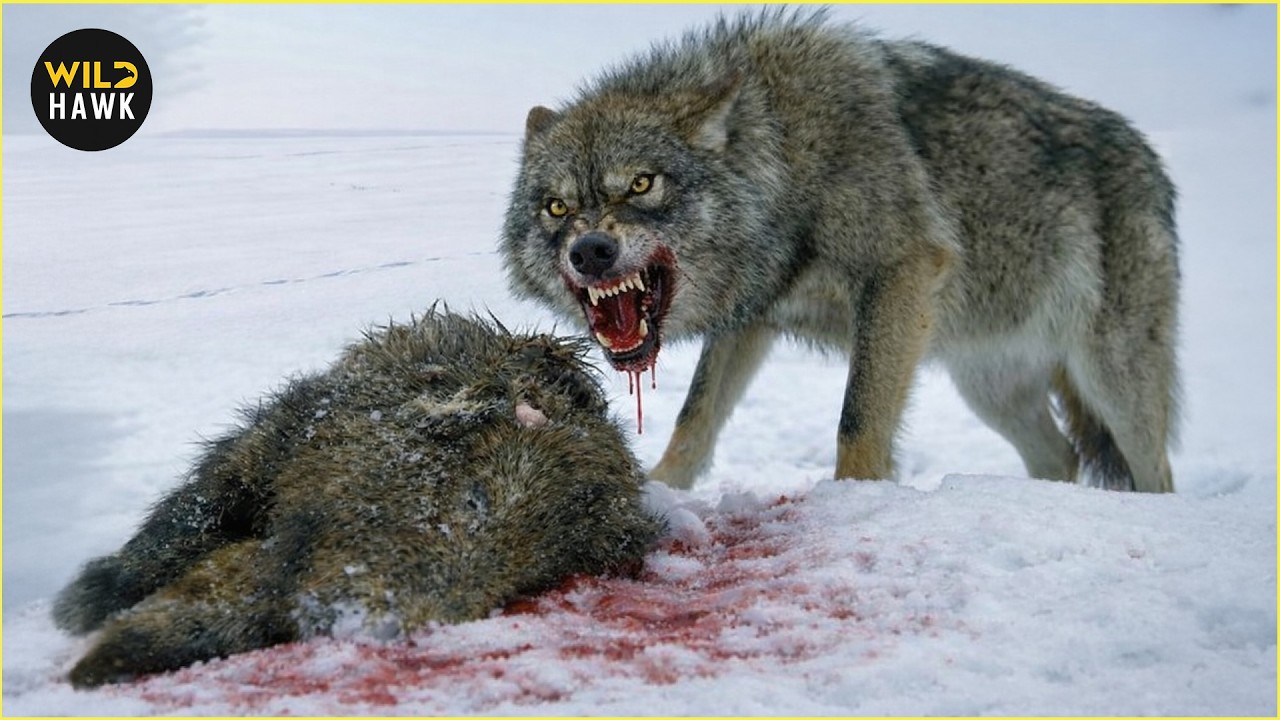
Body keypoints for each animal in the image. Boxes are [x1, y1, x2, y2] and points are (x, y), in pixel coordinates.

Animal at [52, 309, 662, 687]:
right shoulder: (273, 447)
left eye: (541, 574)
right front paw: (90, 606)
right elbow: (191, 521)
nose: (380, 629)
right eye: (474, 498)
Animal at [501, 9, 1179, 493]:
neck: (787, 154)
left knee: (1155, 472)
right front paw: (661, 491)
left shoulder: (899, 273)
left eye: (641, 184)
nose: (589, 251)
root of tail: (1148, 159)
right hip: (990, 388)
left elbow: (858, 421)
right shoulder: (752, 314)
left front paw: (855, 501)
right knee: (1061, 456)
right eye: (556, 208)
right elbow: (694, 418)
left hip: (1113, 383)